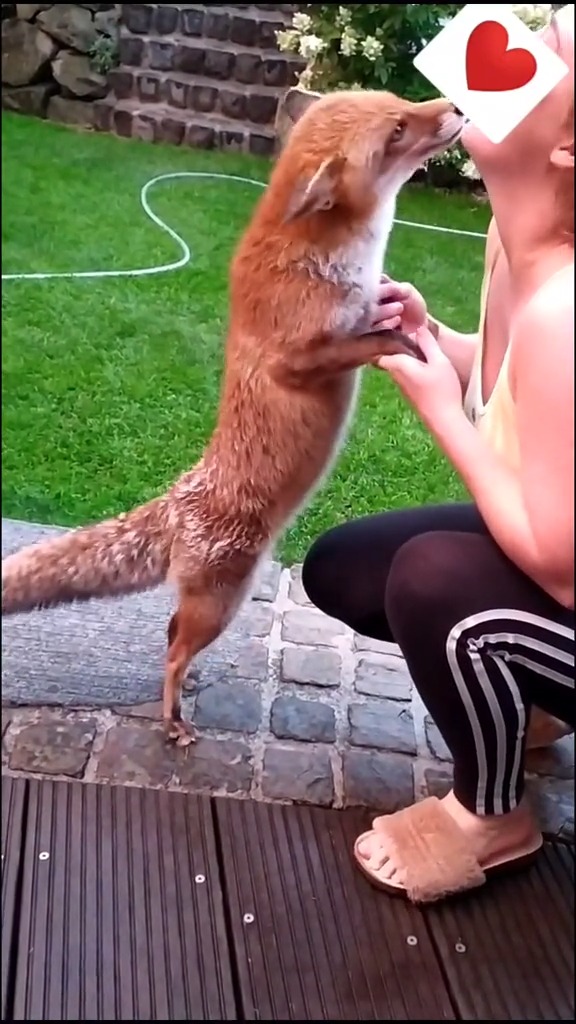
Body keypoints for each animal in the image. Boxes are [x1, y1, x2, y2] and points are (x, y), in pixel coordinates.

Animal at [2, 89, 464, 745]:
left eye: (402, 102)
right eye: (398, 128)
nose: (457, 107)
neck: (334, 261)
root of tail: (180, 497)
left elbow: (387, 310)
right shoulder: (296, 361)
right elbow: (363, 344)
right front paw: (404, 347)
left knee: (171, 636)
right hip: (224, 600)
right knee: (172, 651)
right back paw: (173, 720)